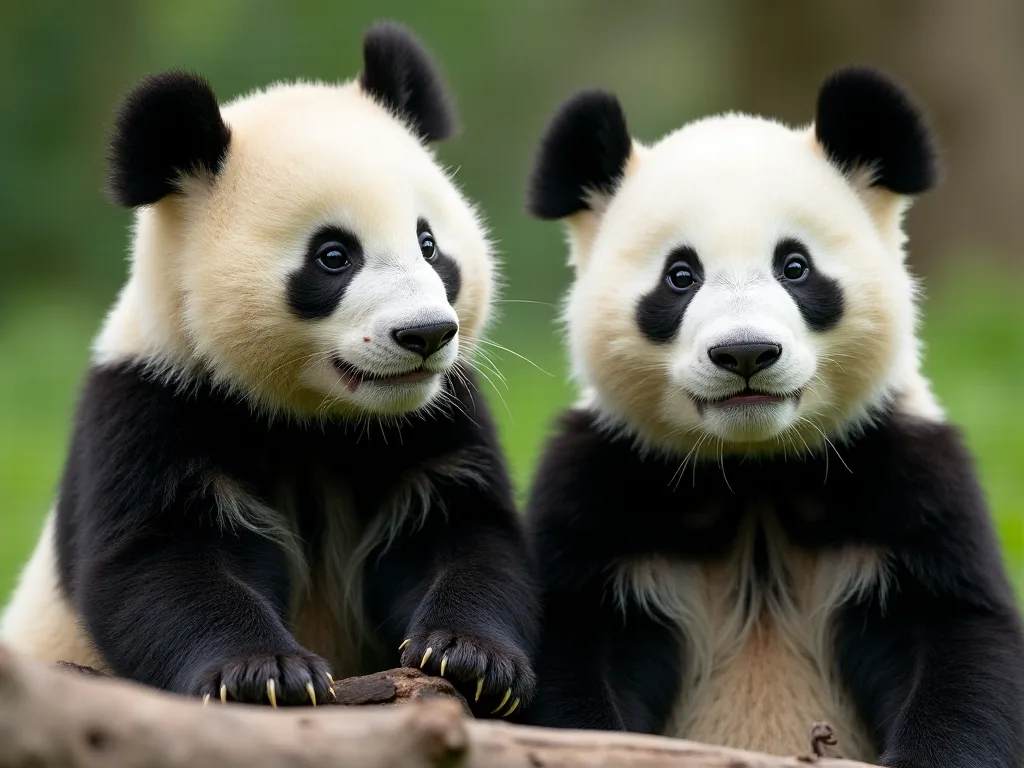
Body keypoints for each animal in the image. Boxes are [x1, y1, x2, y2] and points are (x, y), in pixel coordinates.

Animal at [0, 22, 537, 715]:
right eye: (333, 255)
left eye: (429, 244)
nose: (425, 334)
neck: (315, 417)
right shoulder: (154, 400)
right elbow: (163, 567)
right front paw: (266, 673)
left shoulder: (436, 416)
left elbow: (467, 535)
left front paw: (471, 657)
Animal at [519, 67, 1024, 766]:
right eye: (680, 276)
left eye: (795, 266)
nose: (745, 353)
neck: (752, 469)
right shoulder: (605, 485)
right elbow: (572, 655)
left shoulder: (904, 474)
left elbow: (959, 645)